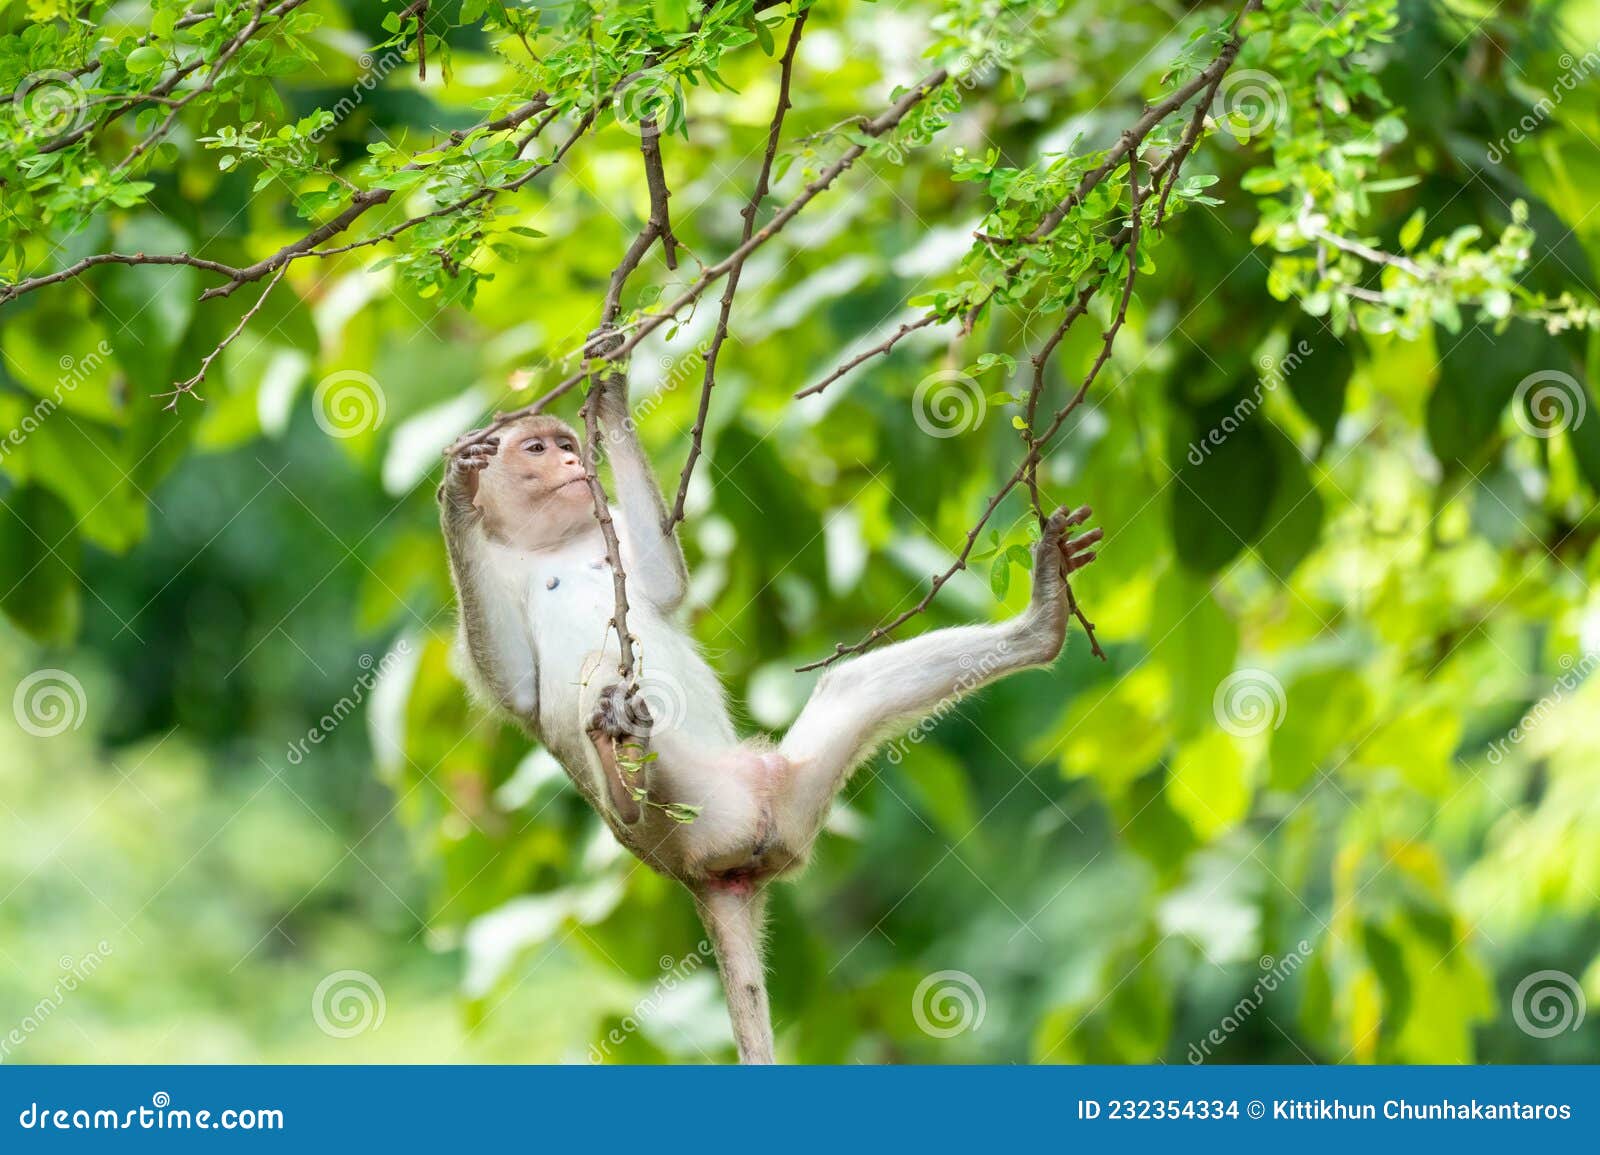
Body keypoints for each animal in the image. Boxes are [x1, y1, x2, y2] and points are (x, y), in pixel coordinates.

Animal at [438, 374, 1100, 1063]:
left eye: (565, 444)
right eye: (536, 448)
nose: (572, 463)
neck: (552, 544)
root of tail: (709, 873)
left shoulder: (608, 524)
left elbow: (663, 584)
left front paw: (611, 395)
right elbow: (518, 687)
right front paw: (456, 495)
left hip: (782, 802)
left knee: (846, 688)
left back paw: (1041, 624)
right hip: (686, 829)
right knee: (599, 686)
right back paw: (623, 779)